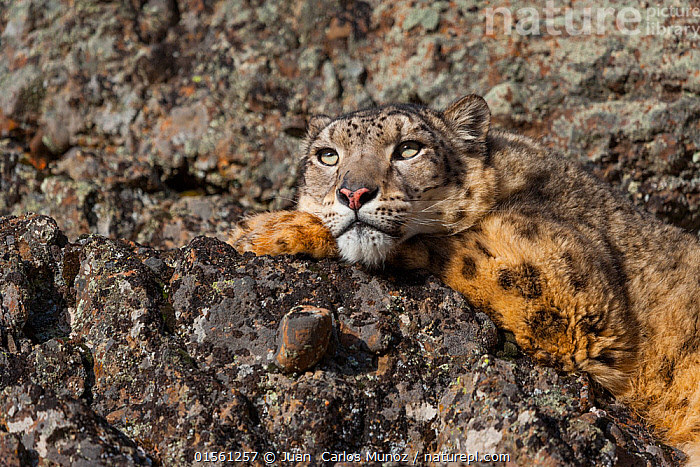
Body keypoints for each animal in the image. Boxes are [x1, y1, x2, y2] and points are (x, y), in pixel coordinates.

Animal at [230, 95, 700, 464]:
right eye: (328, 155)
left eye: (409, 149)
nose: (354, 193)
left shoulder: (571, 291)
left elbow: (452, 244)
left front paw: (270, 229)